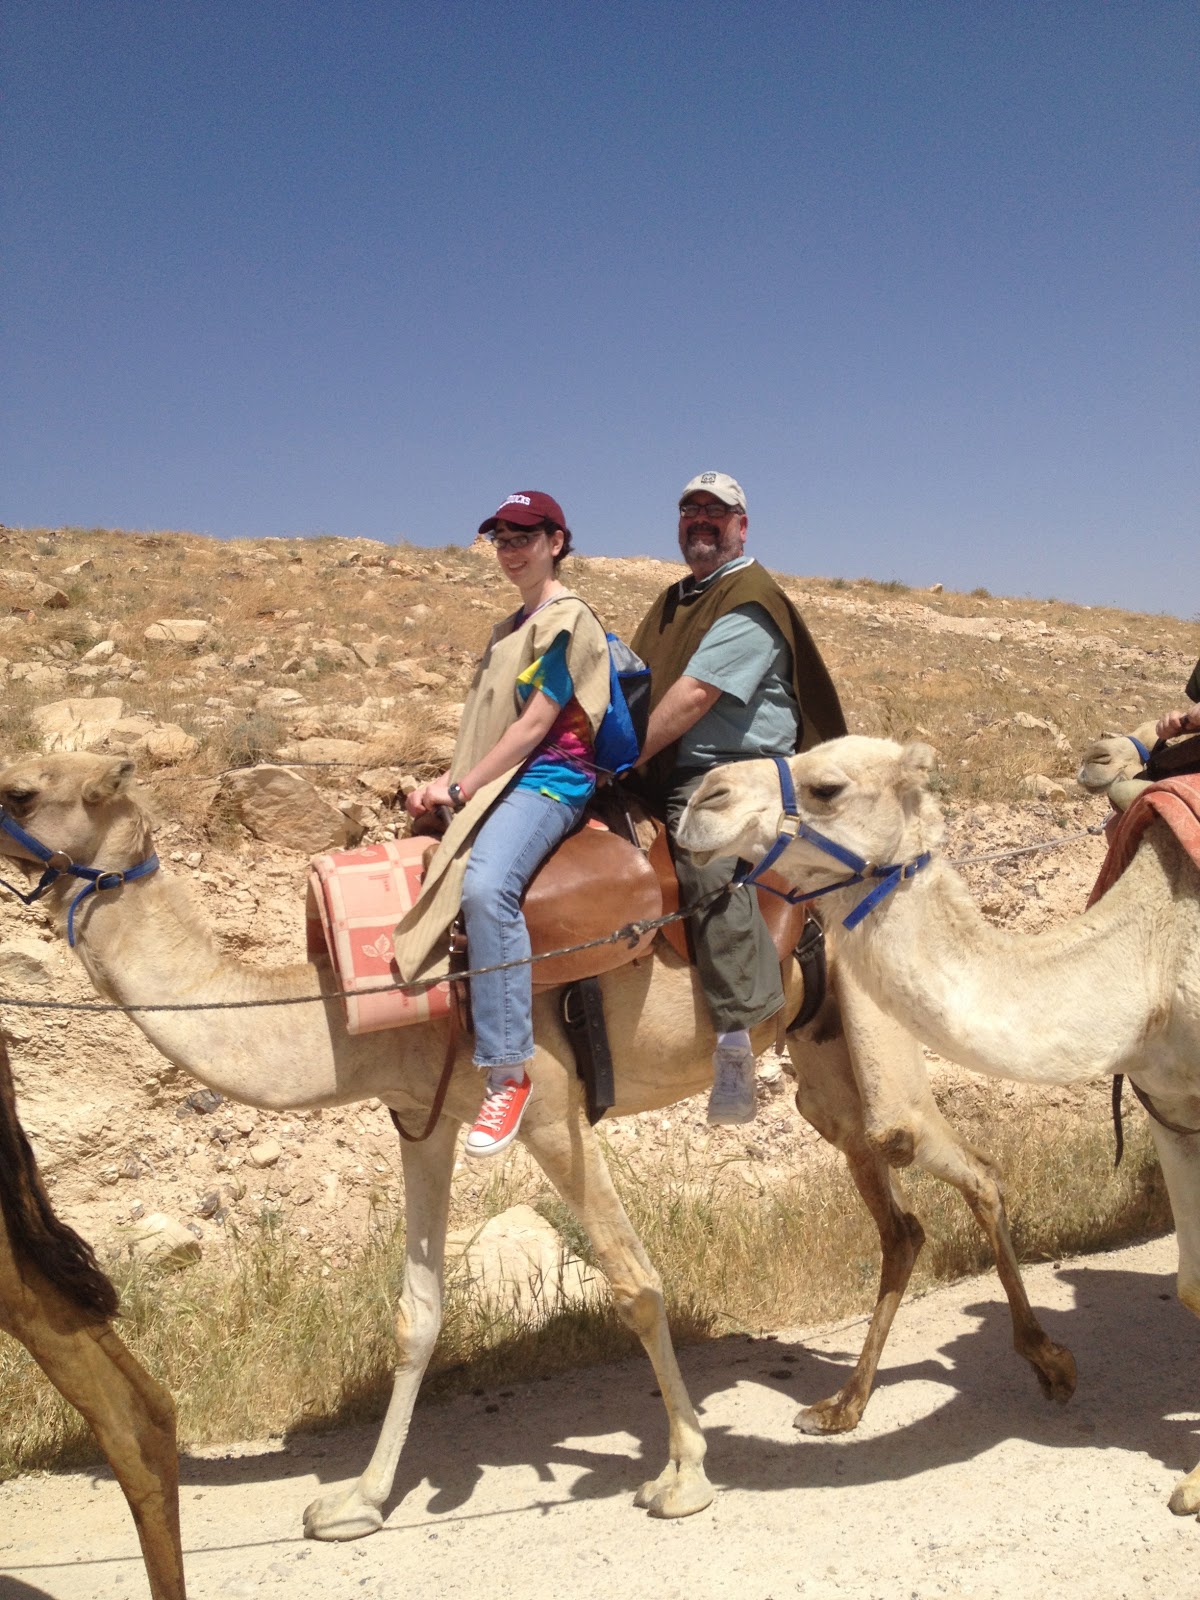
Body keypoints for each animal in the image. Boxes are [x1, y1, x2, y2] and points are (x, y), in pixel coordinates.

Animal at [0, 751, 1076, 1541]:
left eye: (22, 789)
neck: (349, 999)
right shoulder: (423, 1119)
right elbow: (417, 1313)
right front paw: (357, 1501)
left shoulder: (548, 1102)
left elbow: (634, 1281)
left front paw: (684, 1474)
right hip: (821, 1067)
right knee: (898, 1215)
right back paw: (843, 1407)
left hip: (876, 1030)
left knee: (959, 1165)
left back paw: (1048, 1365)